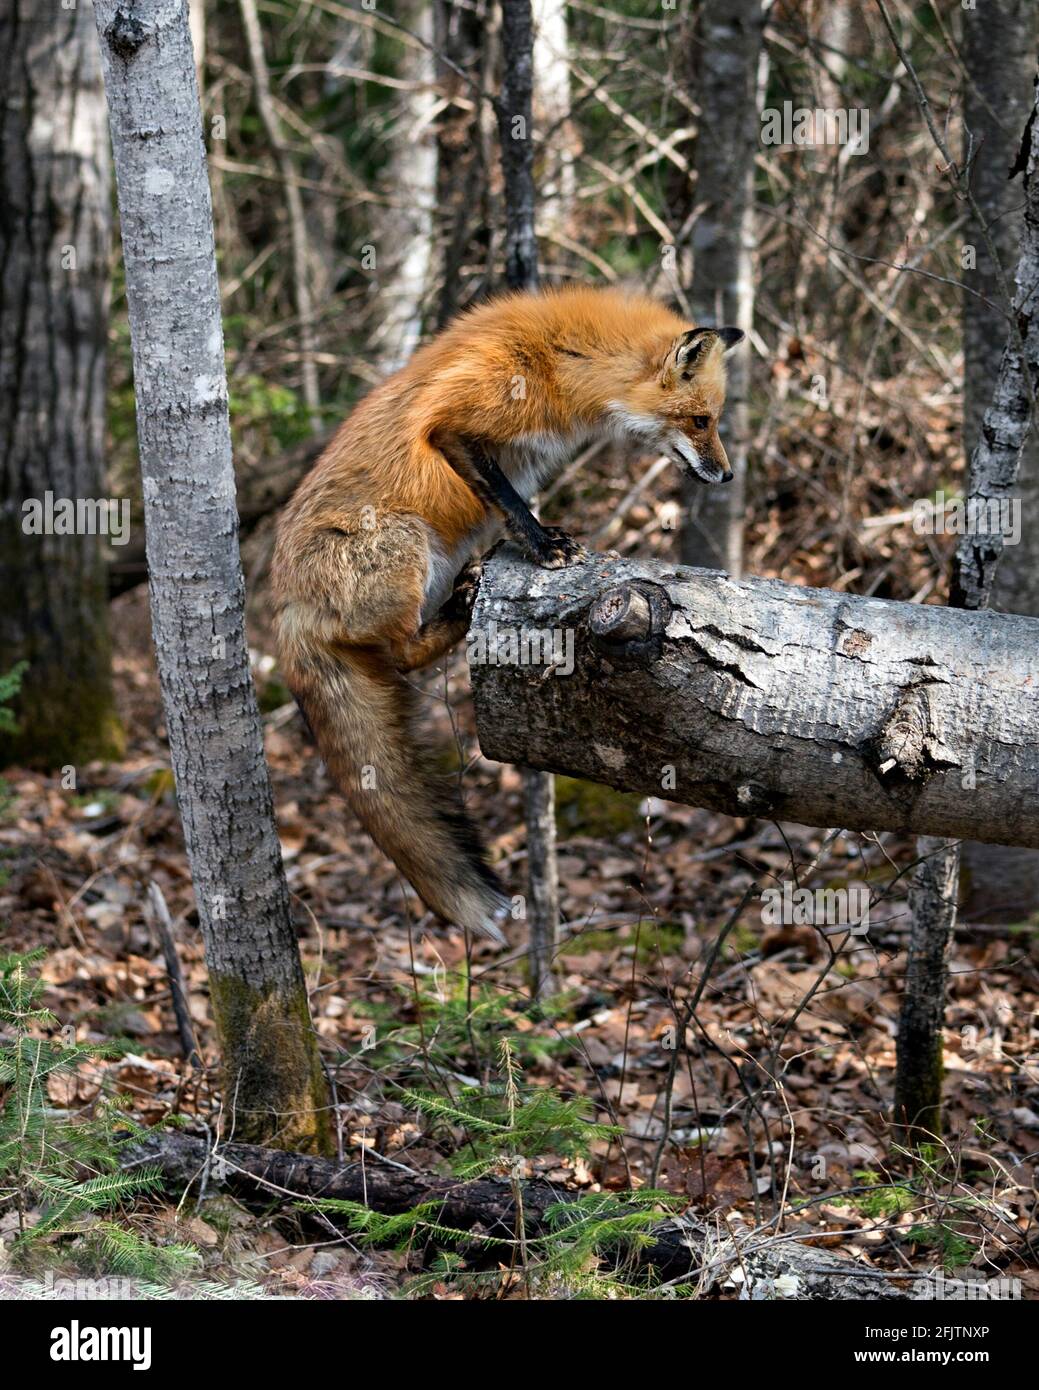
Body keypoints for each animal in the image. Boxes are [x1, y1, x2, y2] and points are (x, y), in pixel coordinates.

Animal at [270, 285, 744, 942]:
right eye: (702, 420)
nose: (727, 474)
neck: (559, 361)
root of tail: (283, 606)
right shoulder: (458, 423)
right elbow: (511, 503)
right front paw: (544, 547)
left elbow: (509, 503)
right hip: (406, 539)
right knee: (401, 654)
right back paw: (458, 611)